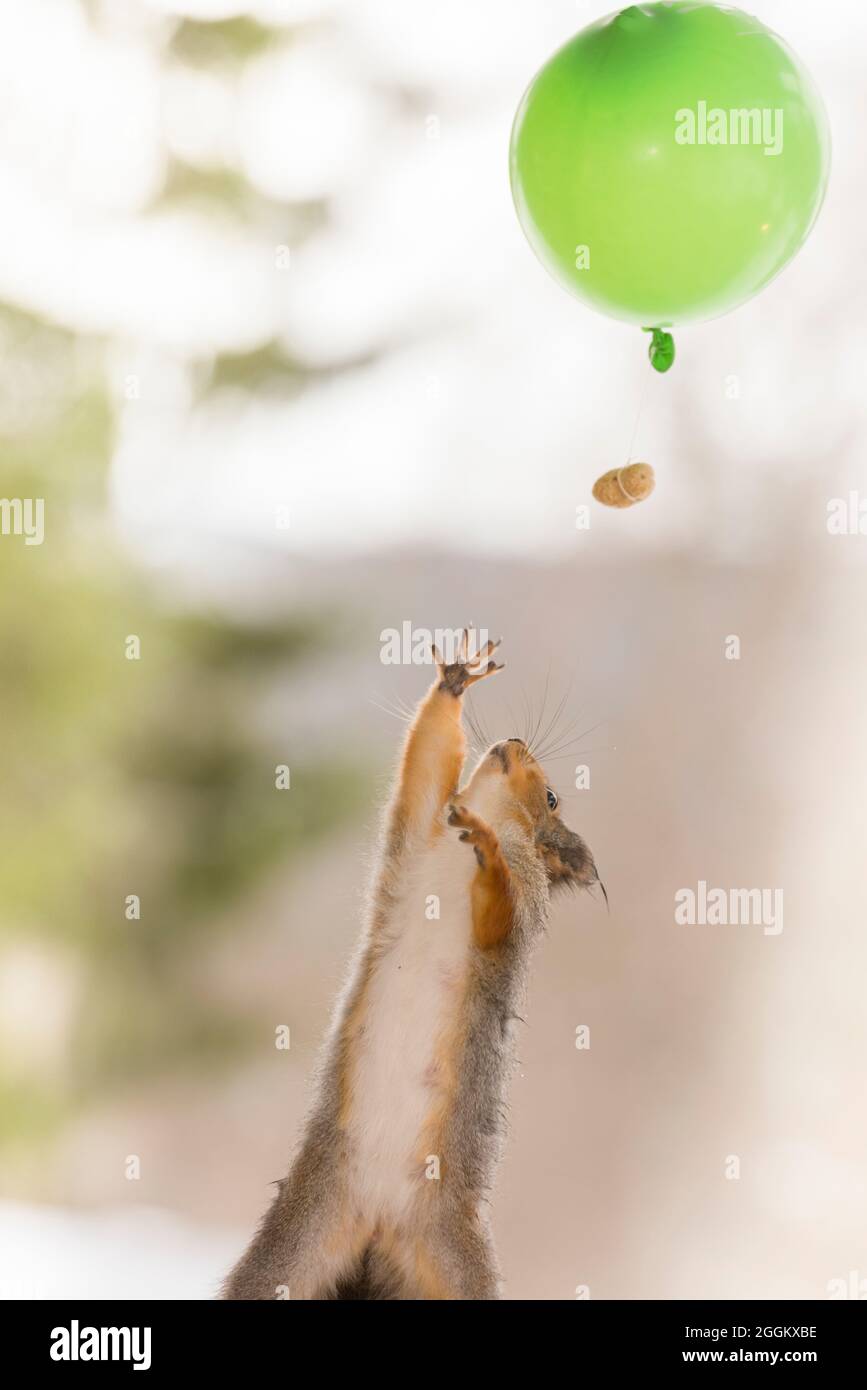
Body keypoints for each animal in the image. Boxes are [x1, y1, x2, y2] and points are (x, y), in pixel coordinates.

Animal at [222, 632, 600, 1300]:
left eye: (552, 797)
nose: (514, 742)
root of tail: (375, 1227)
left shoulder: (514, 916)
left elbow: (498, 911)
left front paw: (490, 851)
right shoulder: (420, 824)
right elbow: (425, 760)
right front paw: (455, 679)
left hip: (451, 1260)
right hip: (293, 1244)